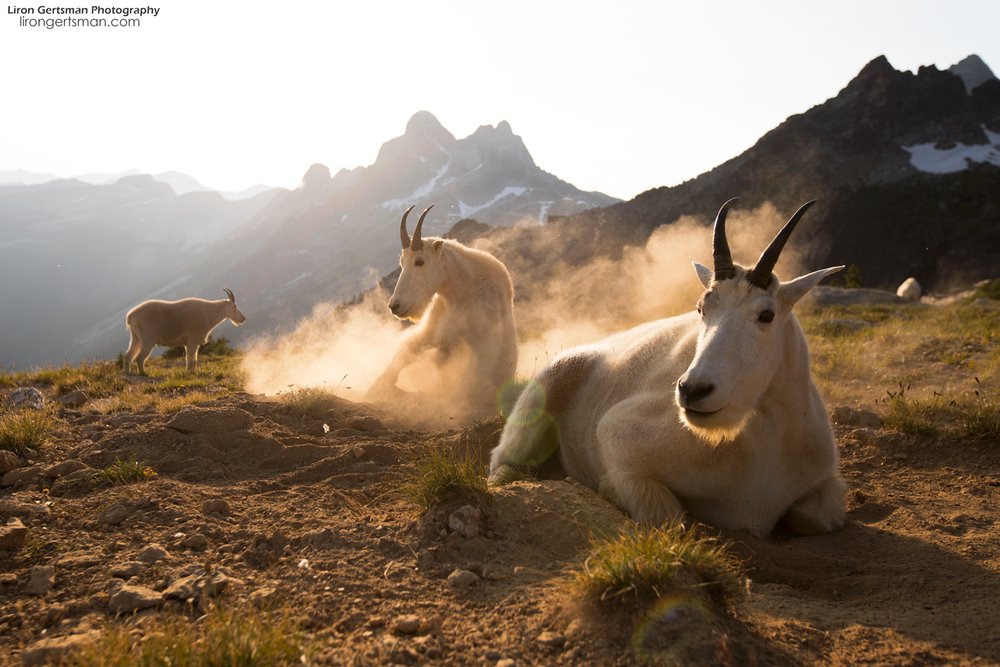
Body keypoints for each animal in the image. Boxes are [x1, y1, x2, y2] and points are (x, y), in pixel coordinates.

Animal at [365, 205, 517, 414]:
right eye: (402, 263)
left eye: (419, 261)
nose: (395, 306)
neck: (460, 291)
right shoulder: (432, 332)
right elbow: (405, 352)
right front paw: (375, 389)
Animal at [490, 199, 846, 536]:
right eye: (701, 308)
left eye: (766, 314)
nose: (693, 390)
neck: (761, 447)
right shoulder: (617, 435)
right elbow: (669, 516)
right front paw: (607, 489)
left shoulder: (825, 479)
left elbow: (813, 516)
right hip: (536, 409)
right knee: (502, 464)